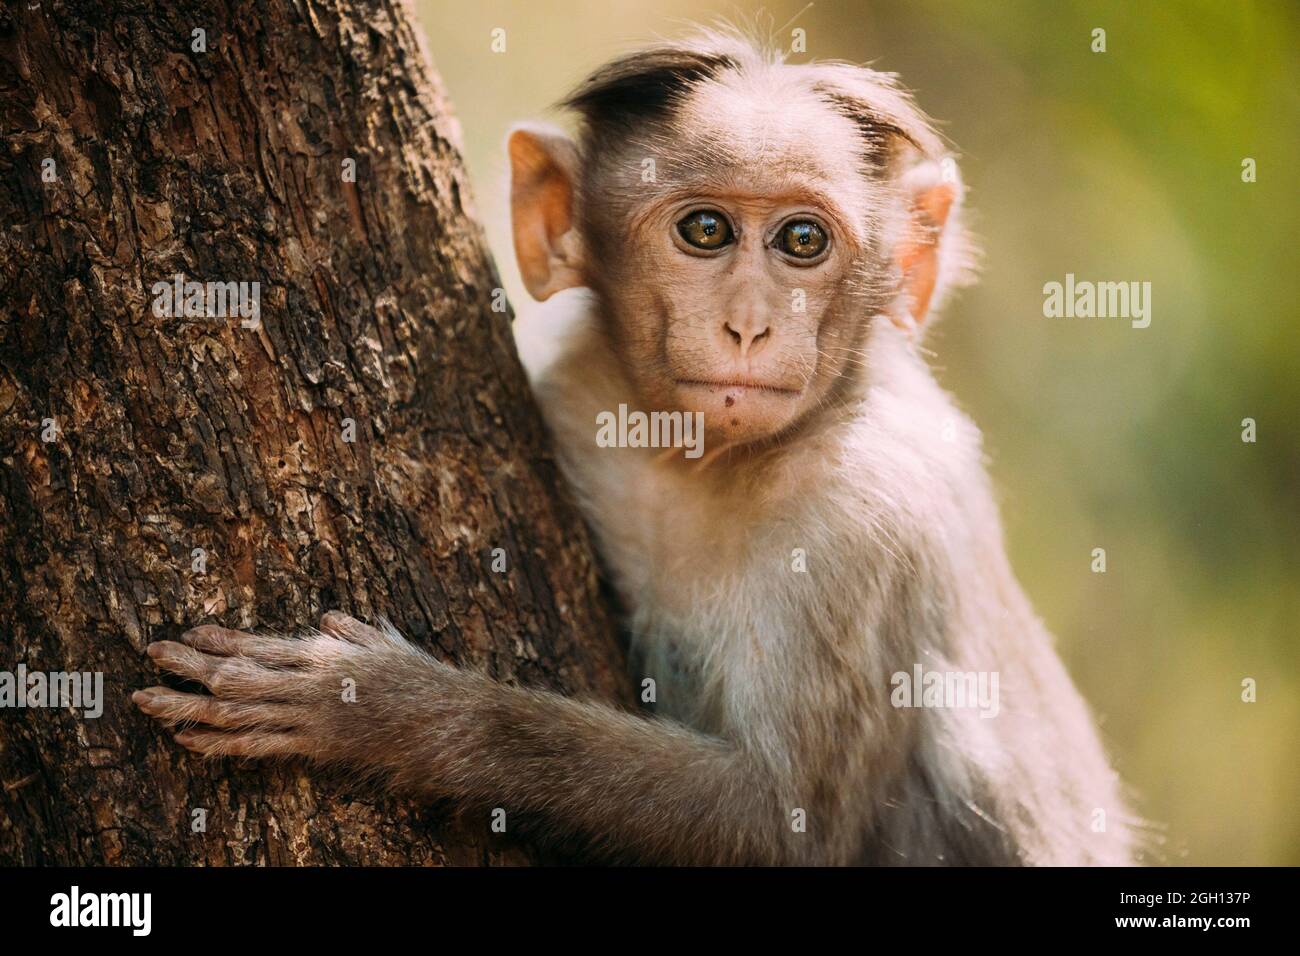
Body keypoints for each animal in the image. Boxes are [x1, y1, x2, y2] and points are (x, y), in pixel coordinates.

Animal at [133, 30, 1136, 866]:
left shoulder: (868, 516)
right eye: (706, 231)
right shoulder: (581, 398)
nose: (749, 325)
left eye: (802, 241)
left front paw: (388, 713)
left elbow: (778, 824)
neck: (709, 462)